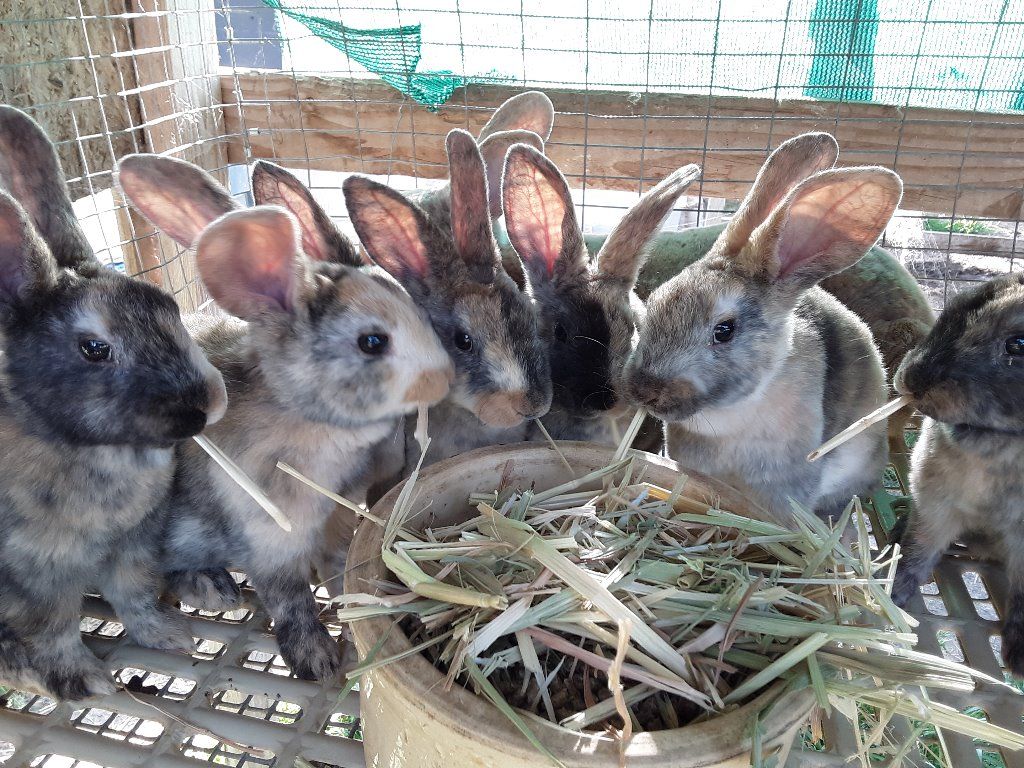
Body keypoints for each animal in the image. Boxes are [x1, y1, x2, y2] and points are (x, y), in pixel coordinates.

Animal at [0, 106, 227, 700]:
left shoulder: (133, 546)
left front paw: (170, 637)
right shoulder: (34, 579)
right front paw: (86, 681)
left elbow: (135, 596)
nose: (207, 405)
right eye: (94, 348)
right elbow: (54, 631)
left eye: (169, 306)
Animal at [116, 154, 453, 682]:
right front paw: (316, 659)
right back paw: (214, 589)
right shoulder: (273, 540)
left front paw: (348, 604)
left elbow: (339, 567)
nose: (444, 377)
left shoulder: (338, 517)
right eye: (372, 341)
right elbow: (290, 600)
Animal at [889, 273, 1024, 675]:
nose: (911, 380)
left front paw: (1018, 657)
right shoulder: (934, 507)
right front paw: (891, 589)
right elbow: (918, 550)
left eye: (1019, 343)